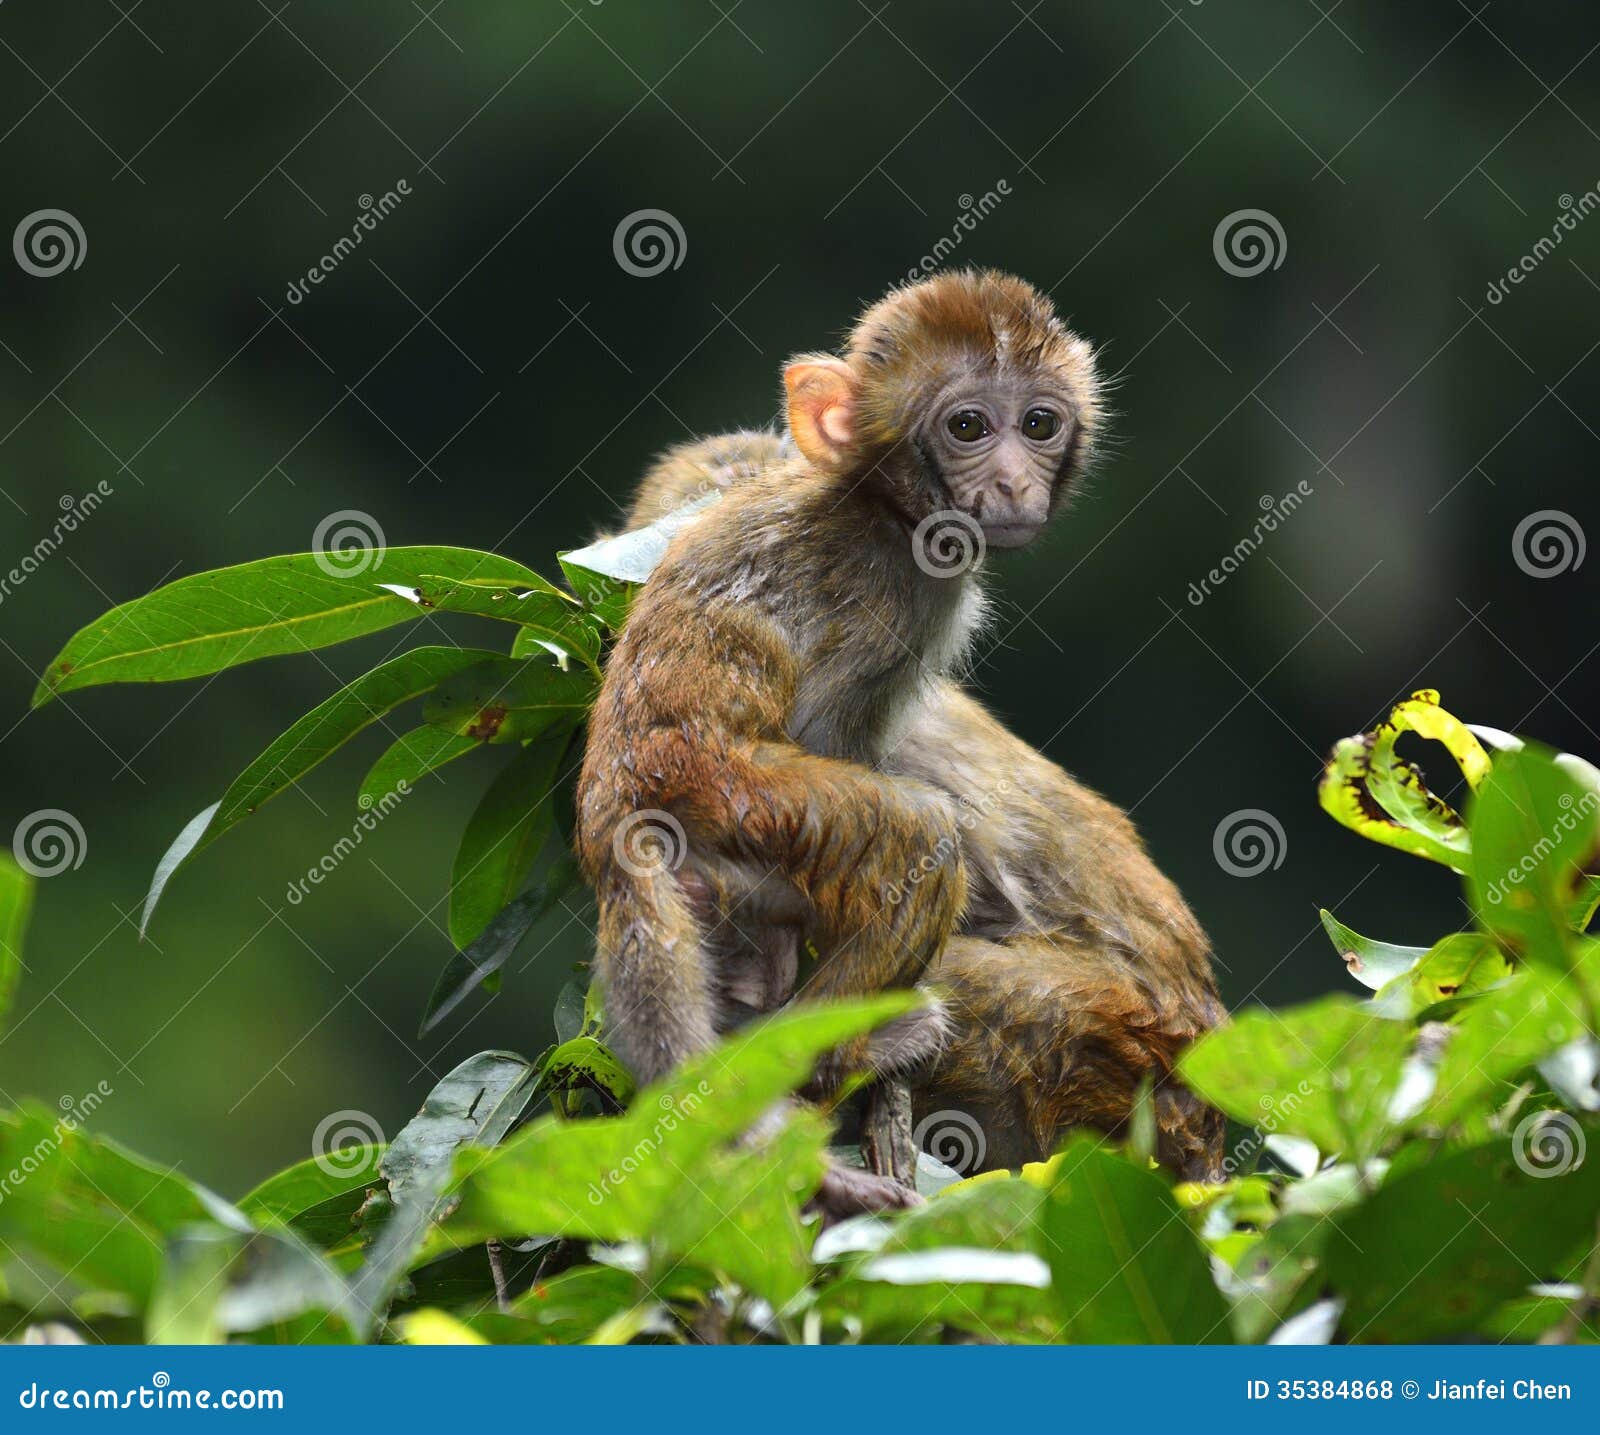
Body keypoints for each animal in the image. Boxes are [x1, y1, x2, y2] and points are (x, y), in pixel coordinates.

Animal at [576, 271, 1219, 1220]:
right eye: (967, 427)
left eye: (1039, 422)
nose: (1013, 481)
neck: (875, 504)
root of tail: (614, 806)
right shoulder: (908, 594)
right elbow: (838, 735)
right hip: (736, 791)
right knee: (920, 832)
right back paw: (837, 1050)